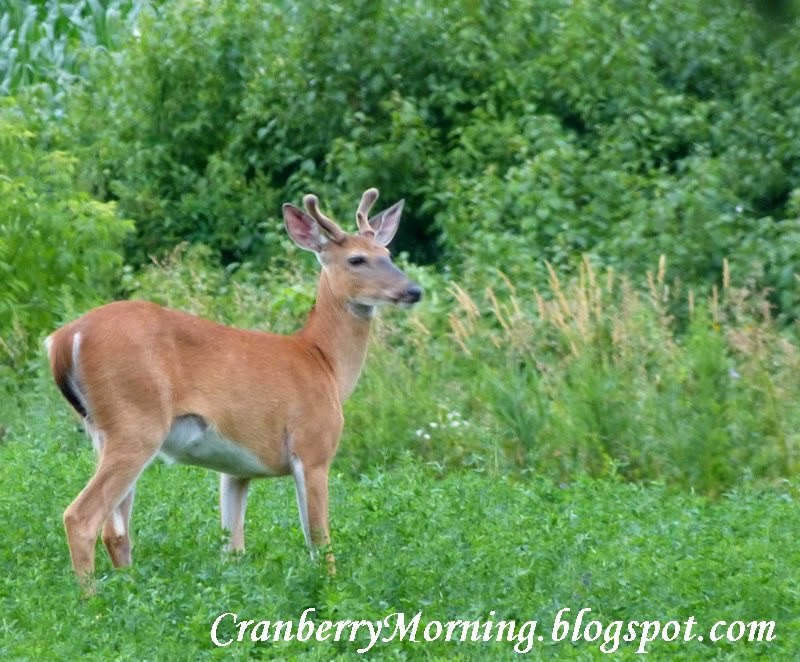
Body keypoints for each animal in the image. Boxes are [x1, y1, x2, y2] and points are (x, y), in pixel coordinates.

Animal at [45, 188, 422, 592]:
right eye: (356, 259)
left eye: (388, 254)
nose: (414, 290)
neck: (324, 364)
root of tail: (64, 339)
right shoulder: (313, 446)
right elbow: (319, 541)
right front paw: (331, 590)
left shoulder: (235, 470)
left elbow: (233, 548)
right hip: (136, 422)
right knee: (81, 518)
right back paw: (93, 600)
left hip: (103, 432)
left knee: (115, 531)